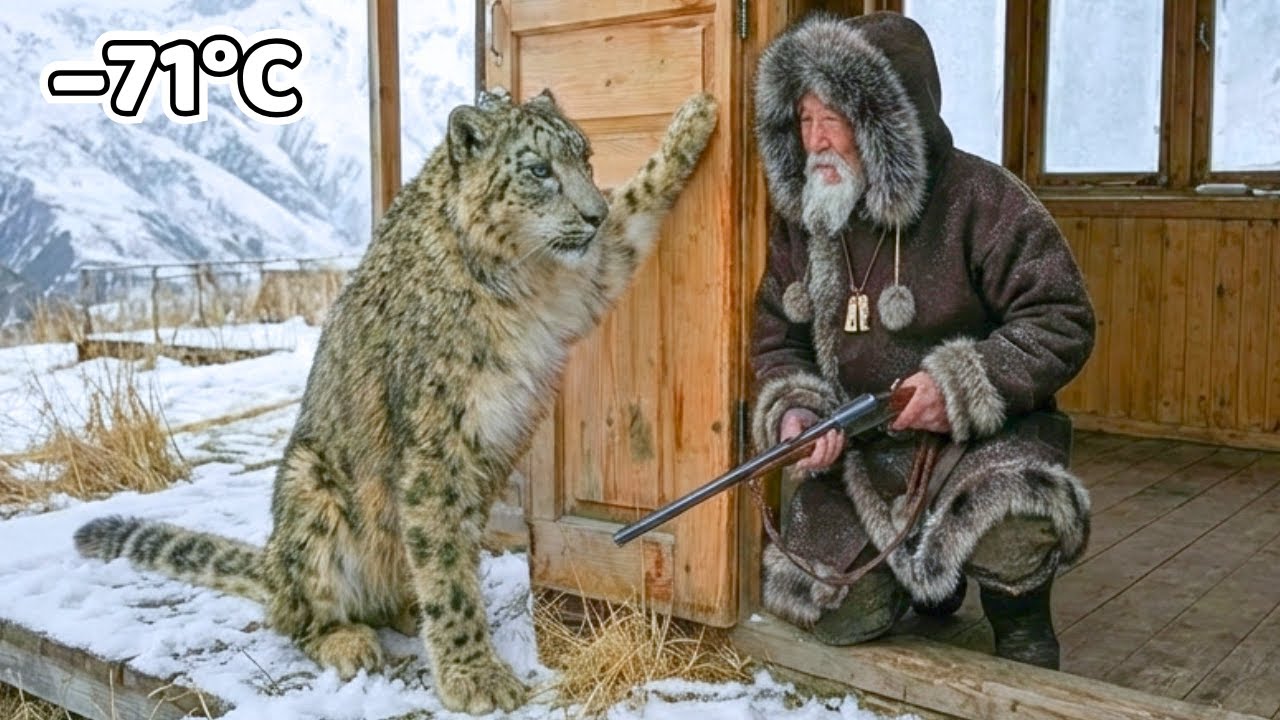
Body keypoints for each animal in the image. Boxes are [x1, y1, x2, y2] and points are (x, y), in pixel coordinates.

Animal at [73, 87, 719, 714]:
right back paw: (349, 640)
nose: (592, 213)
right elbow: (445, 566)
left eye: (584, 158)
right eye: (538, 169)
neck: (525, 281)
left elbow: (633, 213)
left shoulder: (584, 281)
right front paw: (475, 677)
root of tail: (275, 563)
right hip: (310, 492)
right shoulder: (438, 437)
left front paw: (694, 120)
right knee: (297, 613)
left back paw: (407, 610)